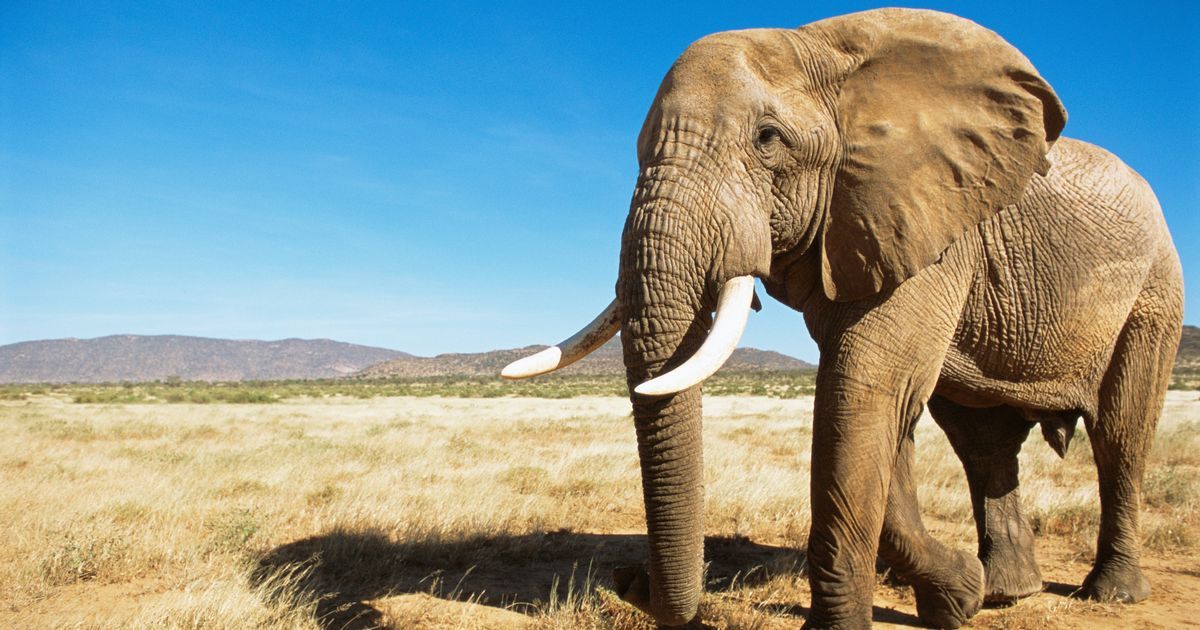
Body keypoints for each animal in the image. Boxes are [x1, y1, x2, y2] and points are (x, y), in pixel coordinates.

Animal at [501, 8, 1183, 629]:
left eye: (768, 140)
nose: (627, 579)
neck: (822, 47)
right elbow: (879, 408)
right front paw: (956, 598)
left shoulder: (927, 222)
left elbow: (863, 391)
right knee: (982, 444)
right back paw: (1004, 593)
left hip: (1155, 292)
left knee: (1120, 434)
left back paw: (1110, 594)